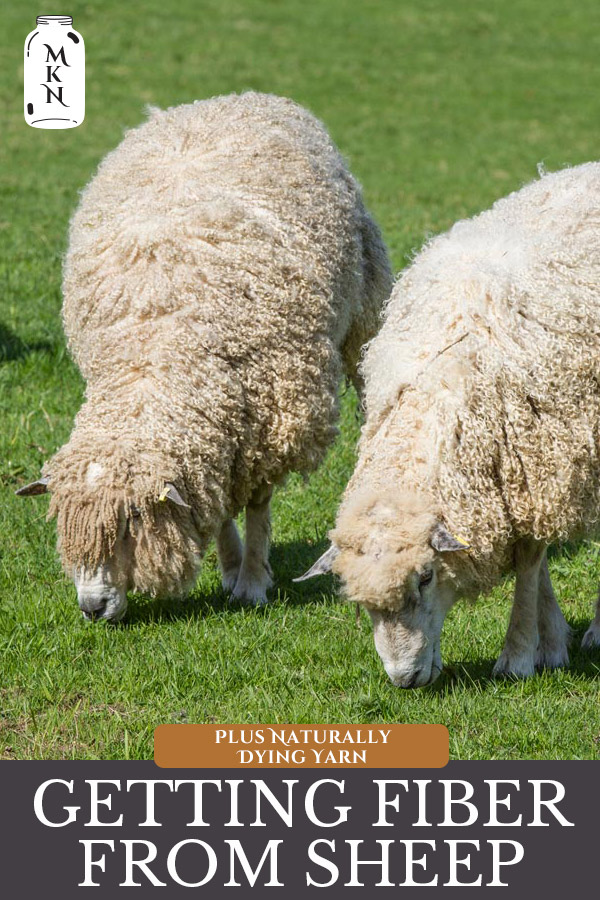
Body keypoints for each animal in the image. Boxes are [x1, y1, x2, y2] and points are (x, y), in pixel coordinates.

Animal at [17, 91, 392, 621]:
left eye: (129, 526)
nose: (91, 607)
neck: (153, 357)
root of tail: (238, 98)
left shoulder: (269, 417)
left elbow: (257, 504)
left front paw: (252, 581)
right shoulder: (219, 429)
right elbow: (213, 504)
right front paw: (230, 566)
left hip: (366, 302)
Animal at [298, 161, 600, 687]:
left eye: (426, 576)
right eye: (363, 604)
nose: (403, 678)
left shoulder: (534, 465)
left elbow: (529, 561)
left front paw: (519, 653)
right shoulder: (515, 477)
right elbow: (538, 562)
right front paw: (552, 641)